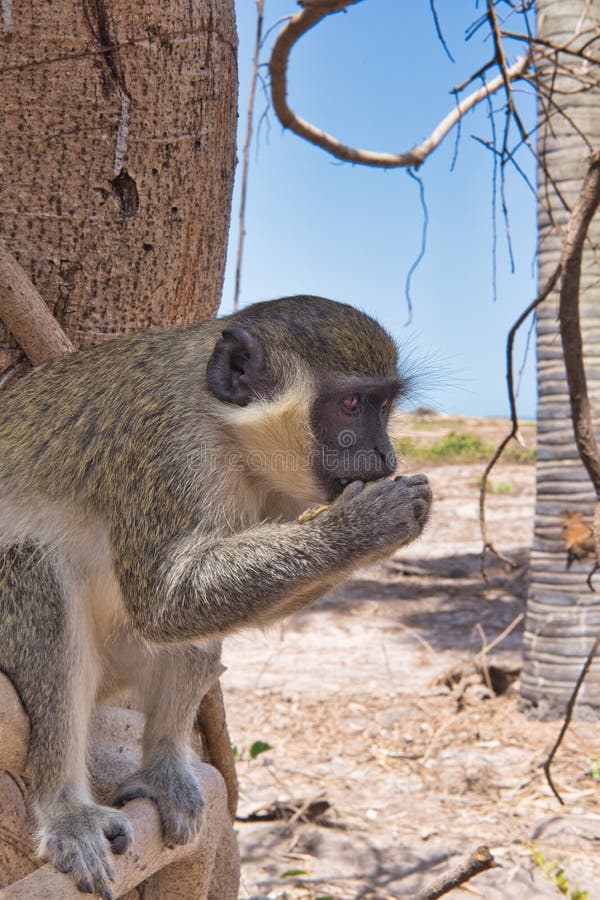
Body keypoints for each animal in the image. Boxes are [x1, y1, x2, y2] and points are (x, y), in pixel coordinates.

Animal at [0, 295, 432, 898]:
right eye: (351, 405)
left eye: (385, 404)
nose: (385, 456)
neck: (226, 429)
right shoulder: (167, 445)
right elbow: (164, 598)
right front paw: (366, 524)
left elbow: (194, 606)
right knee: (35, 565)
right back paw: (65, 809)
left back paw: (163, 768)